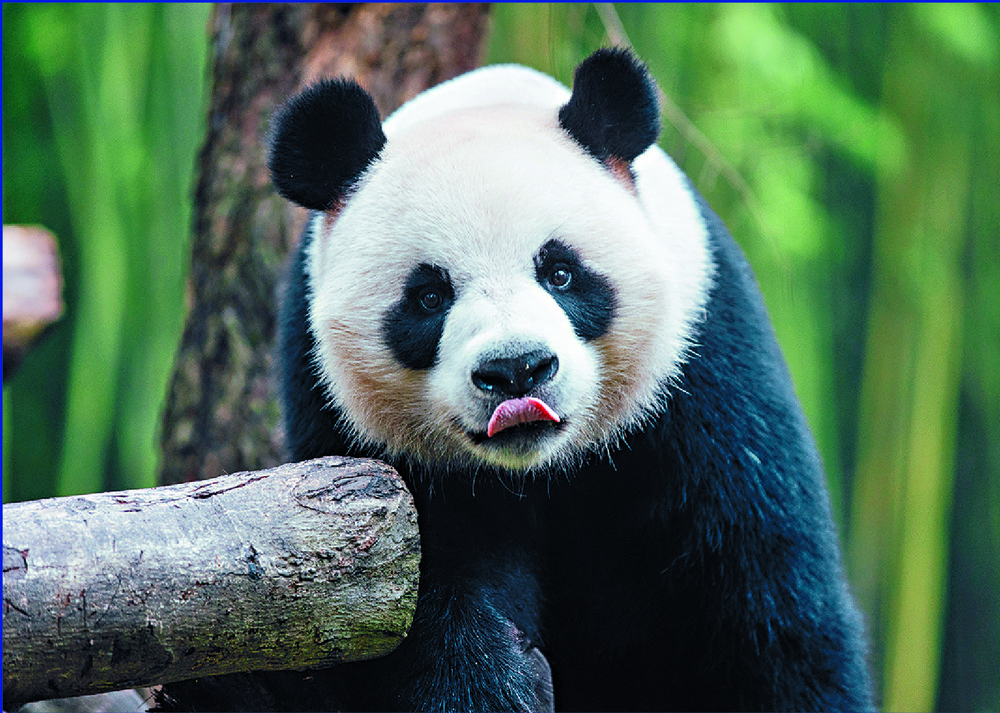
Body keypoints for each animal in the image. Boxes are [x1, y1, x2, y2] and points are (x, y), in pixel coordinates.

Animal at [160, 49, 874, 712]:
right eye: (428, 296)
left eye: (560, 272)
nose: (516, 370)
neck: (543, 467)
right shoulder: (361, 433)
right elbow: (430, 590)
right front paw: (494, 683)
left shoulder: (706, 378)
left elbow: (763, 607)